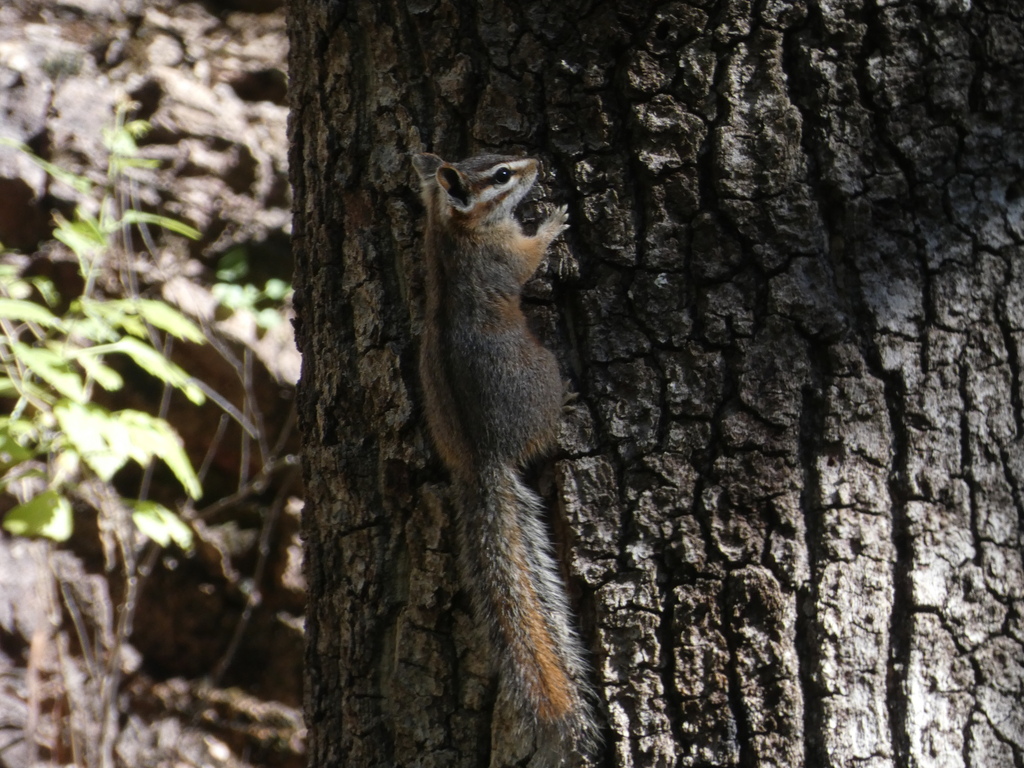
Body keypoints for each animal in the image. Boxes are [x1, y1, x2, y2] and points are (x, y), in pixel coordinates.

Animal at [412, 152, 597, 756]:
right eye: (500, 176)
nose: (537, 162)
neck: (454, 228)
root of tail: (483, 456)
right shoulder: (505, 255)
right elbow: (529, 259)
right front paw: (555, 222)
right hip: (541, 375)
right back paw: (568, 401)